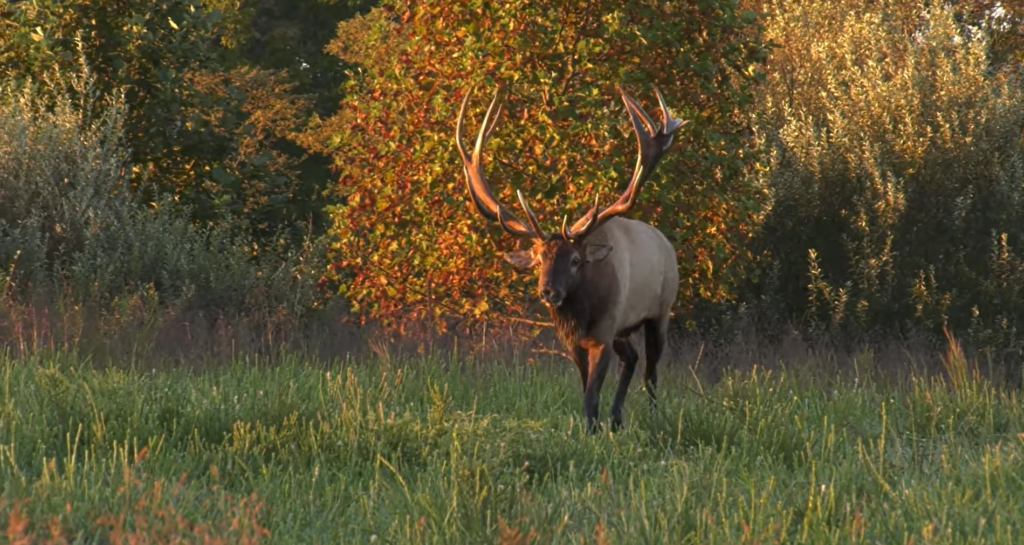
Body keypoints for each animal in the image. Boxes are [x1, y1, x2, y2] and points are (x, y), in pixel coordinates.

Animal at [455, 86, 686, 434]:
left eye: (576, 260)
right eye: (538, 260)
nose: (549, 291)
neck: (582, 315)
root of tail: (665, 243)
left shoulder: (604, 330)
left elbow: (592, 392)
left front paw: (591, 431)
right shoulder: (578, 339)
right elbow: (585, 386)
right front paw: (594, 426)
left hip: (660, 311)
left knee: (651, 371)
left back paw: (653, 416)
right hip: (624, 329)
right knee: (631, 358)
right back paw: (617, 419)